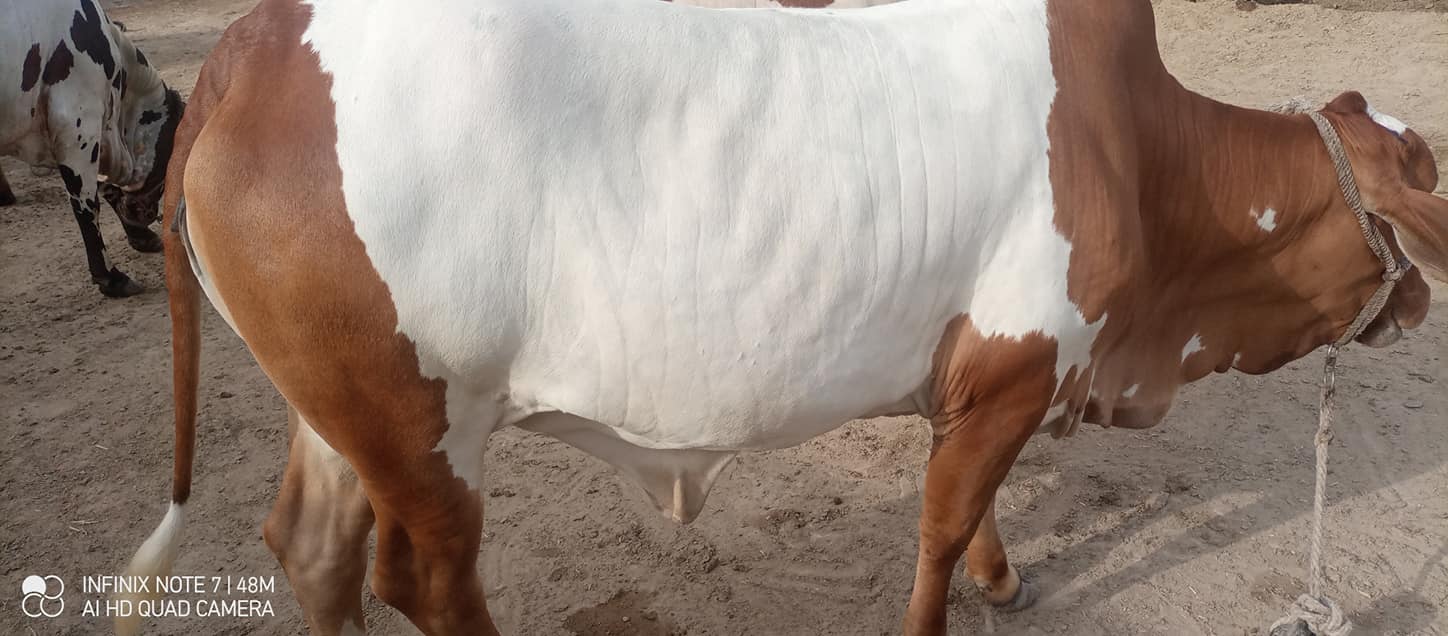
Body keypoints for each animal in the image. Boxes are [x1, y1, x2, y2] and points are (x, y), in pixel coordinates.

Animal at [1, 0, 185, 297]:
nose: (146, 216)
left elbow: (106, 187)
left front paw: (141, 237)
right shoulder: (77, 124)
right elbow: (87, 204)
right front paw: (111, 277)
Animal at [117, 0, 1448, 634]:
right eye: (1414, 178)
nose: (1420, 298)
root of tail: (250, 46)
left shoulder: (985, 379)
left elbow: (974, 510)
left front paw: (1005, 575)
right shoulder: (1016, 371)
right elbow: (935, 528)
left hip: (337, 413)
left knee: (315, 554)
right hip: (418, 425)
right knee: (425, 580)